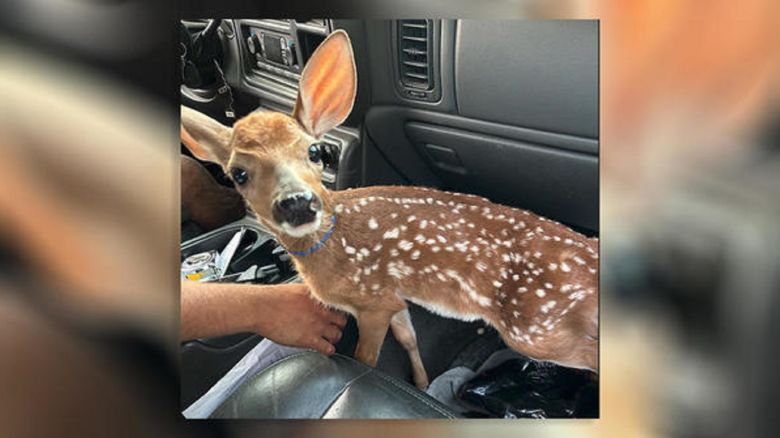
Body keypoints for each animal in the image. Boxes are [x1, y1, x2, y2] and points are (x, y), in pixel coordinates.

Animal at [180, 30, 598, 390]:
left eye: (314, 151)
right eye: (238, 173)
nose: (296, 203)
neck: (333, 247)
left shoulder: (371, 300)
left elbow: (366, 357)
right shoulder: (392, 295)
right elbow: (408, 336)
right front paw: (422, 383)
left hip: (535, 329)